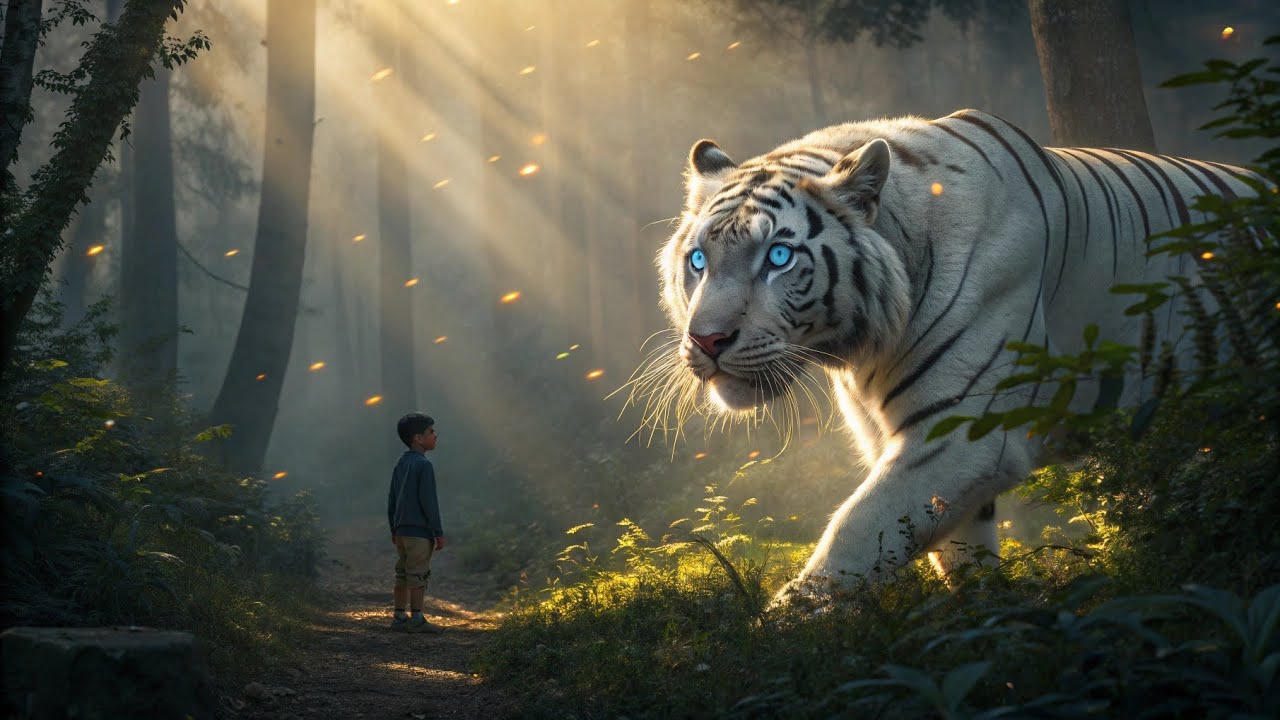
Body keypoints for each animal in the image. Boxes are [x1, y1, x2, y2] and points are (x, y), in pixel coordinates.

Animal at [642, 109, 1263, 602]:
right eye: (698, 260)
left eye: (777, 256)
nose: (708, 340)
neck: (863, 348)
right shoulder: (899, 439)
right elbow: (953, 545)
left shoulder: (964, 430)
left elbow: (857, 529)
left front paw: (789, 627)